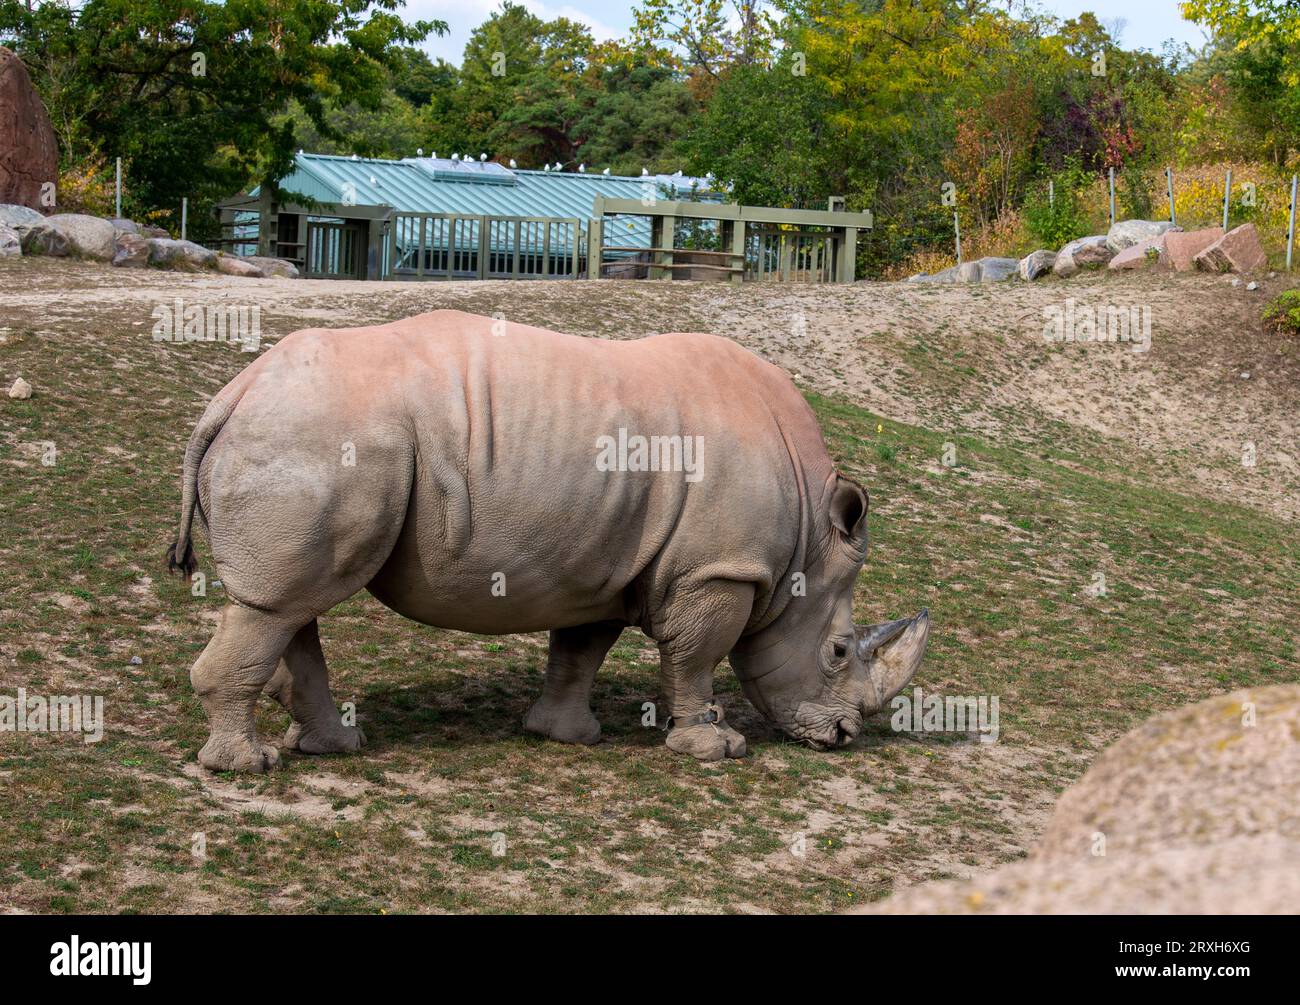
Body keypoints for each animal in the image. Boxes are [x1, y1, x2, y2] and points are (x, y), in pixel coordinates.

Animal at [168, 310, 929, 772]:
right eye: (838, 651)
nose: (843, 737)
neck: (808, 535)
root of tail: (232, 394)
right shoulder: (717, 571)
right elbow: (695, 658)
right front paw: (715, 747)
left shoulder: (607, 562)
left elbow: (580, 650)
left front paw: (568, 735)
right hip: (317, 435)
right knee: (281, 604)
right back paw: (250, 766)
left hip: (307, 434)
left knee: (290, 603)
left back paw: (333, 747)